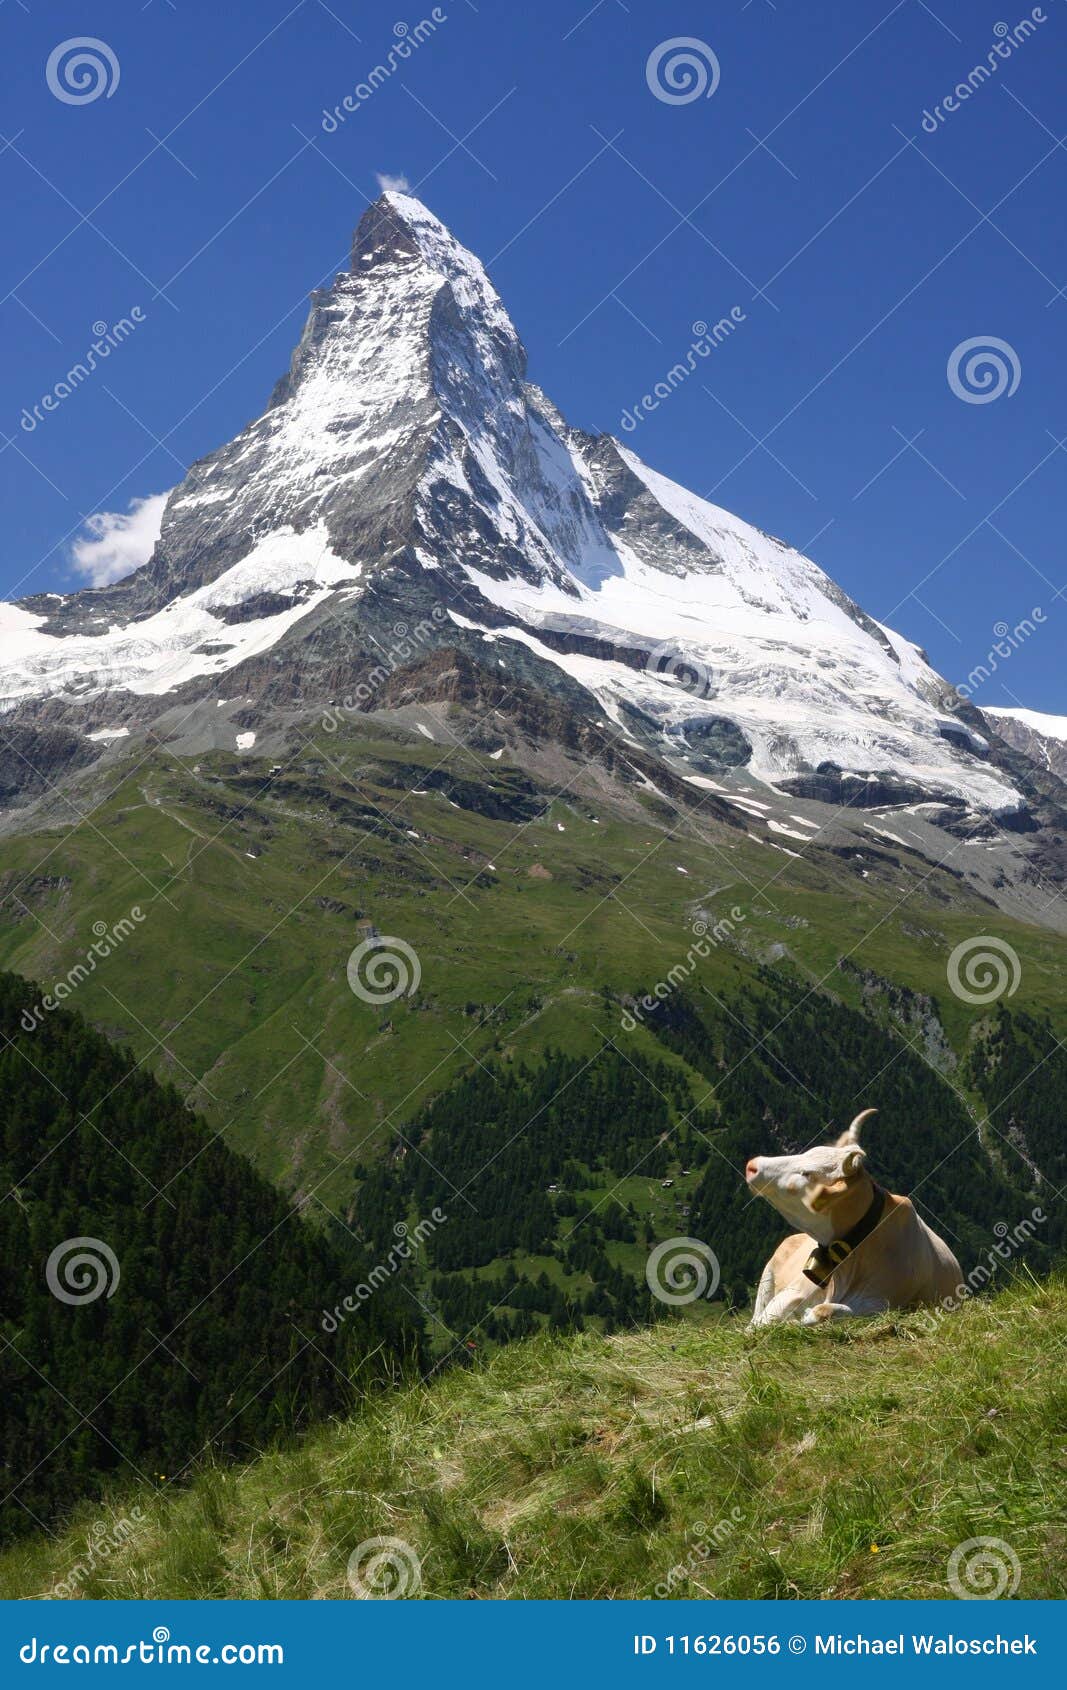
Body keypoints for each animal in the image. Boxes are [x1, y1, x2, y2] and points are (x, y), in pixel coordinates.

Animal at [744, 1109, 962, 1327]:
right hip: (767, 1279)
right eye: (805, 1153)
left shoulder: (885, 1303)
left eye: (807, 1174)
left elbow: (826, 1310)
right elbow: (761, 1323)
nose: (753, 1165)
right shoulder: (790, 1293)